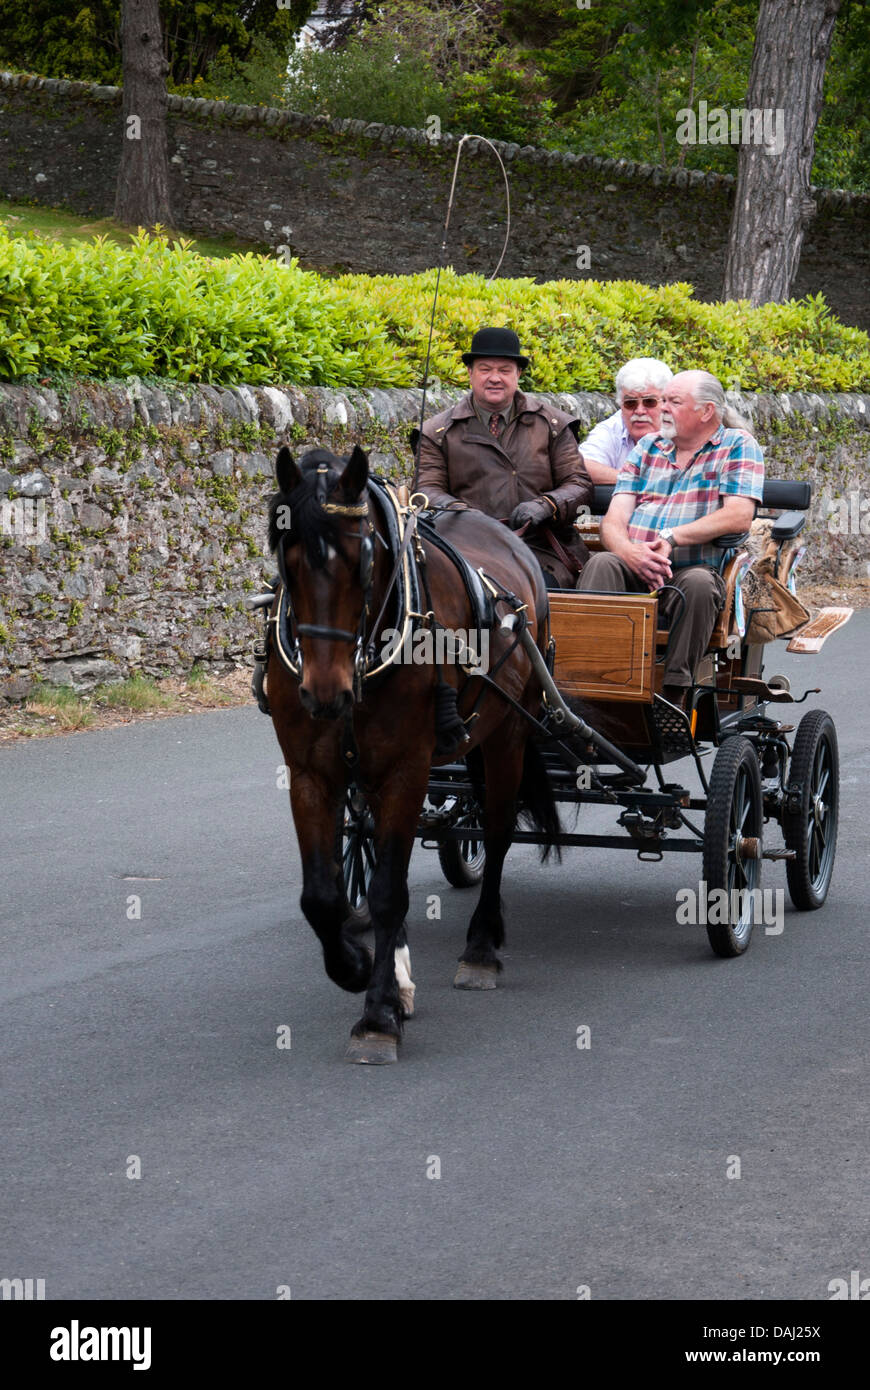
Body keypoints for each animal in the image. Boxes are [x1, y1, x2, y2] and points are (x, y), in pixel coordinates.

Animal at [264, 443, 560, 1063]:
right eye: (288, 559)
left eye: (363, 561)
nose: (324, 693)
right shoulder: (311, 773)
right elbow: (323, 894)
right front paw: (358, 966)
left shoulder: (406, 768)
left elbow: (387, 892)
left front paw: (376, 1014)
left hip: (508, 734)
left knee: (498, 831)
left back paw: (481, 947)